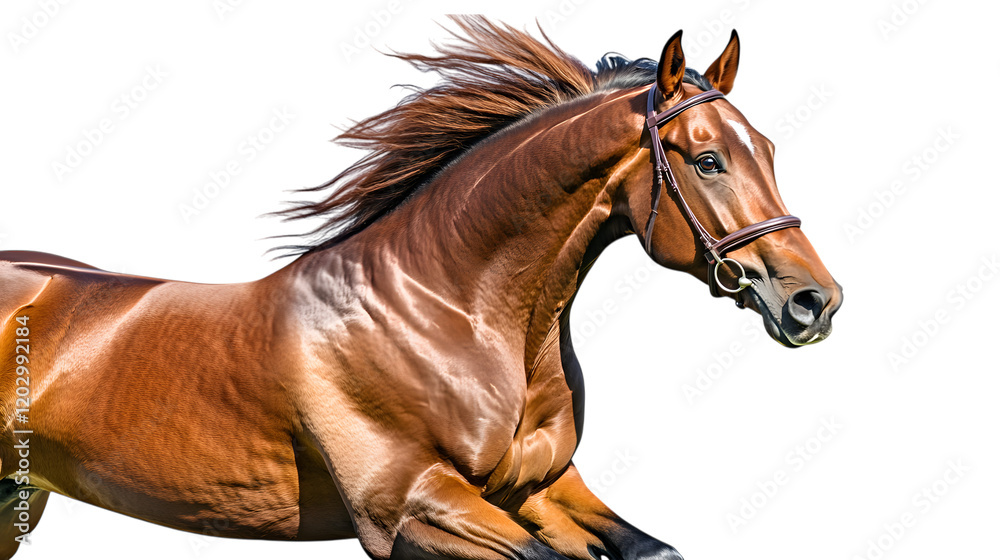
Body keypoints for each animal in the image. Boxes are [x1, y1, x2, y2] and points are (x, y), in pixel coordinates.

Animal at [0, 16, 841, 560]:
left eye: (767, 148)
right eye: (708, 160)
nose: (815, 302)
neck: (454, 318)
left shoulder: (542, 489)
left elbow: (651, 551)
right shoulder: (413, 507)